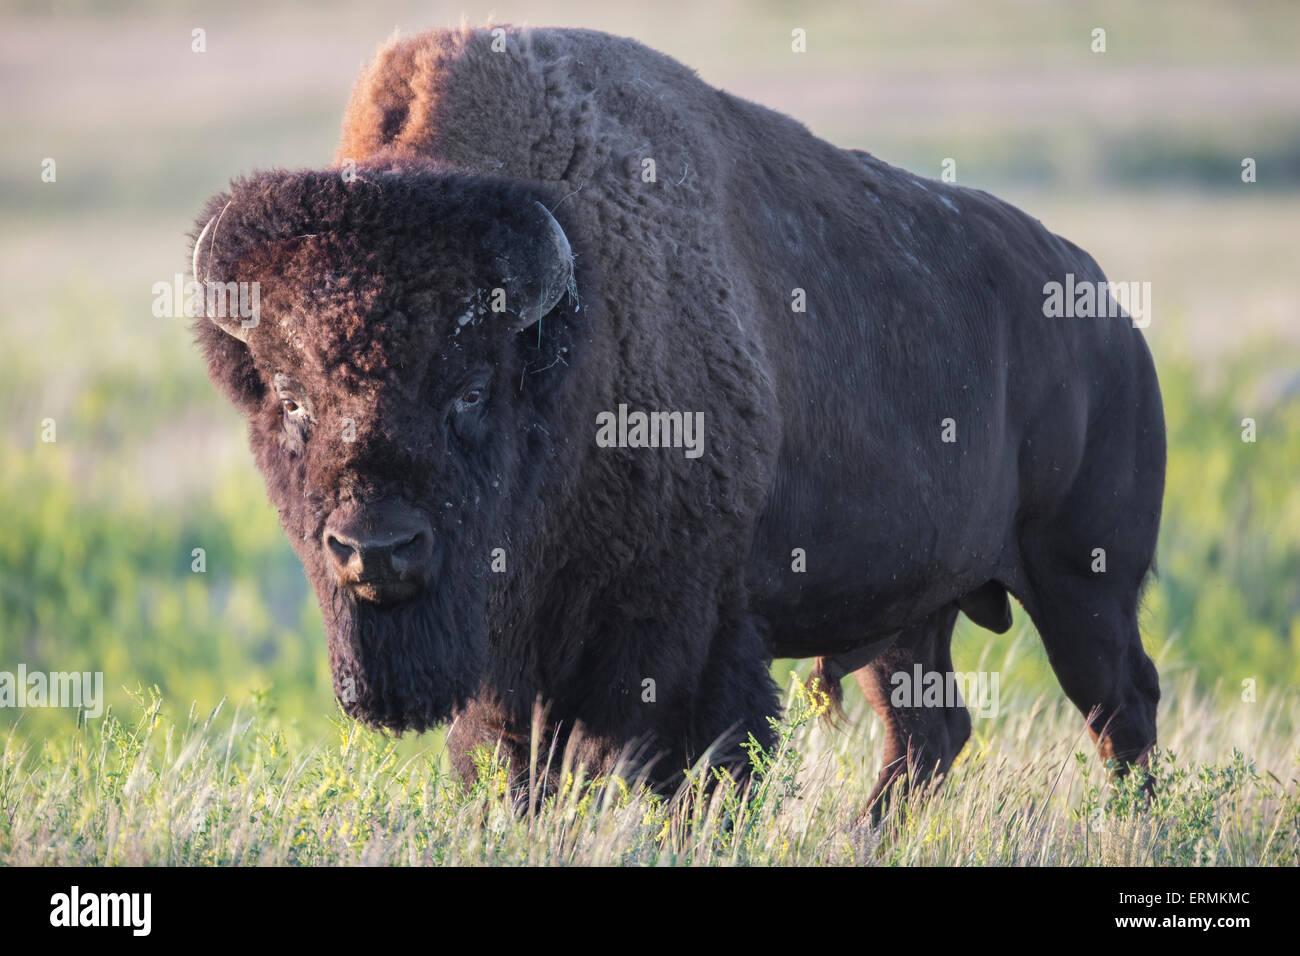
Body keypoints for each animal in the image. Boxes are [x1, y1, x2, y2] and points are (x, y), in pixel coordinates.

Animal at [191, 26, 1164, 817]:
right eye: (290, 396)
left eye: (469, 389)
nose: (378, 550)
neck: (569, 344)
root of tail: (1111, 317)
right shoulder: (509, 662)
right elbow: (511, 767)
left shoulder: (675, 632)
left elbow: (668, 765)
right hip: (911, 616)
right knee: (929, 735)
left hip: (1083, 582)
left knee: (1123, 706)